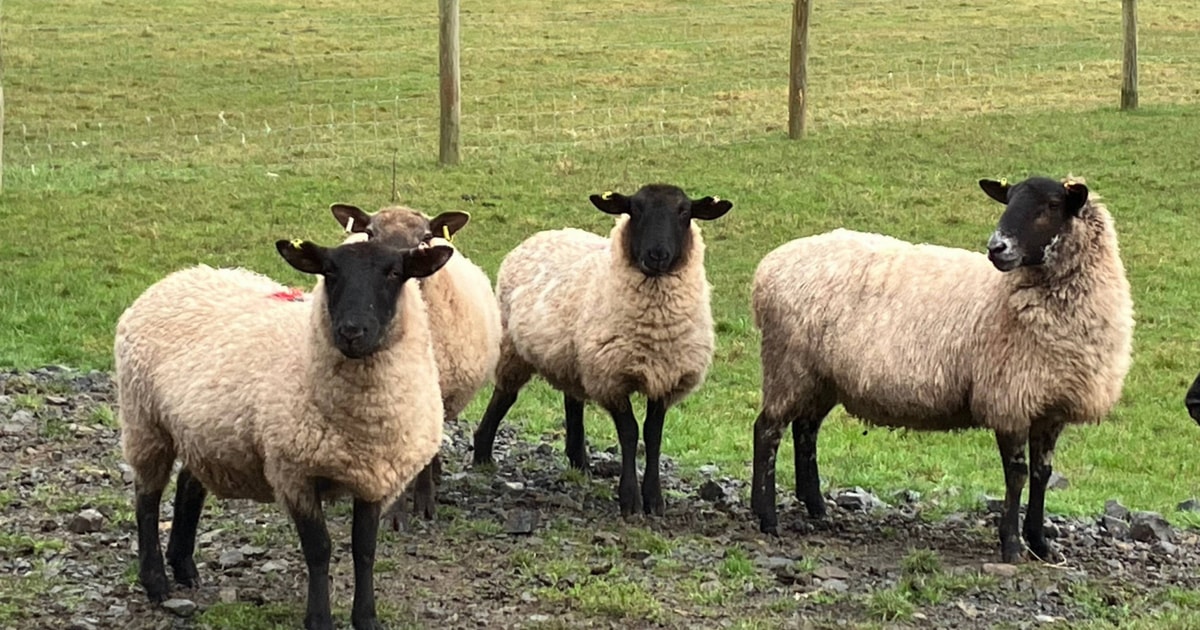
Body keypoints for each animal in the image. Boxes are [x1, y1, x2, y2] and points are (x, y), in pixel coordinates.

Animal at [115, 237, 454, 630]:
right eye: (330, 272)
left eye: (395, 273)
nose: (351, 332)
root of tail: (179, 276)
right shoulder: (293, 474)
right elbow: (320, 549)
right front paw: (319, 619)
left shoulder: (375, 478)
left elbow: (365, 549)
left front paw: (366, 618)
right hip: (145, 422)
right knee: (147, 499)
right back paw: (156, 581)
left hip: (207, 432)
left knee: (188, 484)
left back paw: (184, 566)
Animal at [472, 184, 733, 516]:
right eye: (635, 209)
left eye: (684, 211)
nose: (657, 255)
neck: (656, 327)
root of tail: (549, 232)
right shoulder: (611, 376)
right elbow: (630, 433)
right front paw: (630, 500)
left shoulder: (667, 377)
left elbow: (653, 434)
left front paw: (655, 499)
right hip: (512, 346)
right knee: (505, 395)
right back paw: (482, 454)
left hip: (570, 356)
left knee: (572, 401)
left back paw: (579, 462)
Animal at [750, 175, 1133, 563]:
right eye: (1008, 200)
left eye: (1052, 206)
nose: (996, 248)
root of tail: (770, 265)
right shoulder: (1007, 398)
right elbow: (1017, 474)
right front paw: (1011, 544)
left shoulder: (1051, 406)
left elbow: (1042, 473)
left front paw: (1040, 544)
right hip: (787, 362)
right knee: (767, 431)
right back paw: (766, 517)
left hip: (821, 375)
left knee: (805, 430)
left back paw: (816, 508)